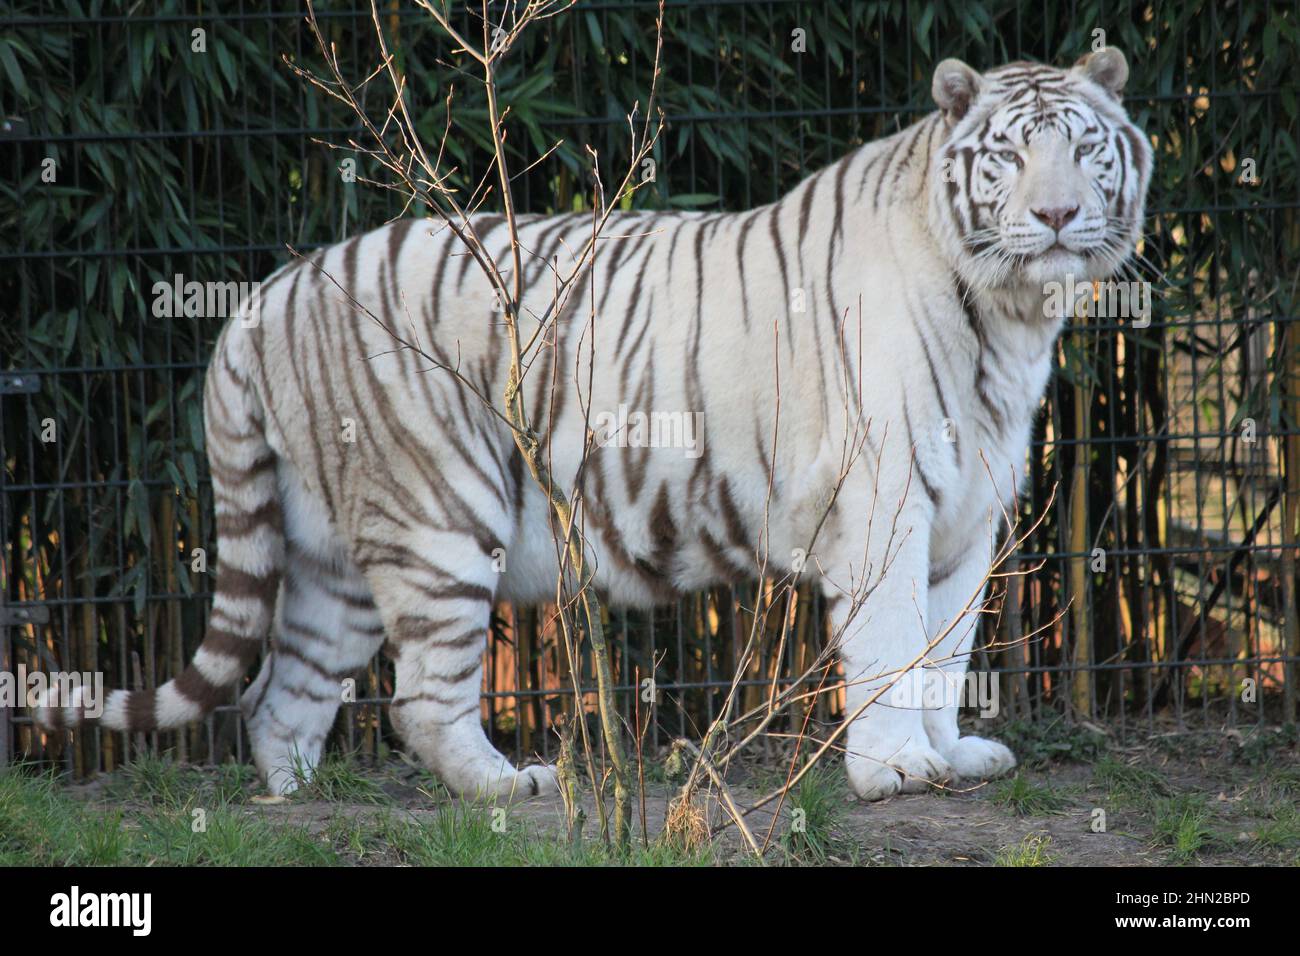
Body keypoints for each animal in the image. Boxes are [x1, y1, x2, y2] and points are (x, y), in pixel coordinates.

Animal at [37, 49, 1151, 802]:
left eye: (1084, 149)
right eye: (1009, 157)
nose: (1057, 217)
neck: (1010, 317)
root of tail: (266, 293)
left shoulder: (969, 514)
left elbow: (946, 650)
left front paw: (951, 751)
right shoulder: (884, 502)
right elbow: (888, 644)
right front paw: (896, 771)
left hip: (331, 550)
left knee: (280, 691)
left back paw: (299, 799)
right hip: (440, 510)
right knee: (419, 697)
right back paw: (508, 786)